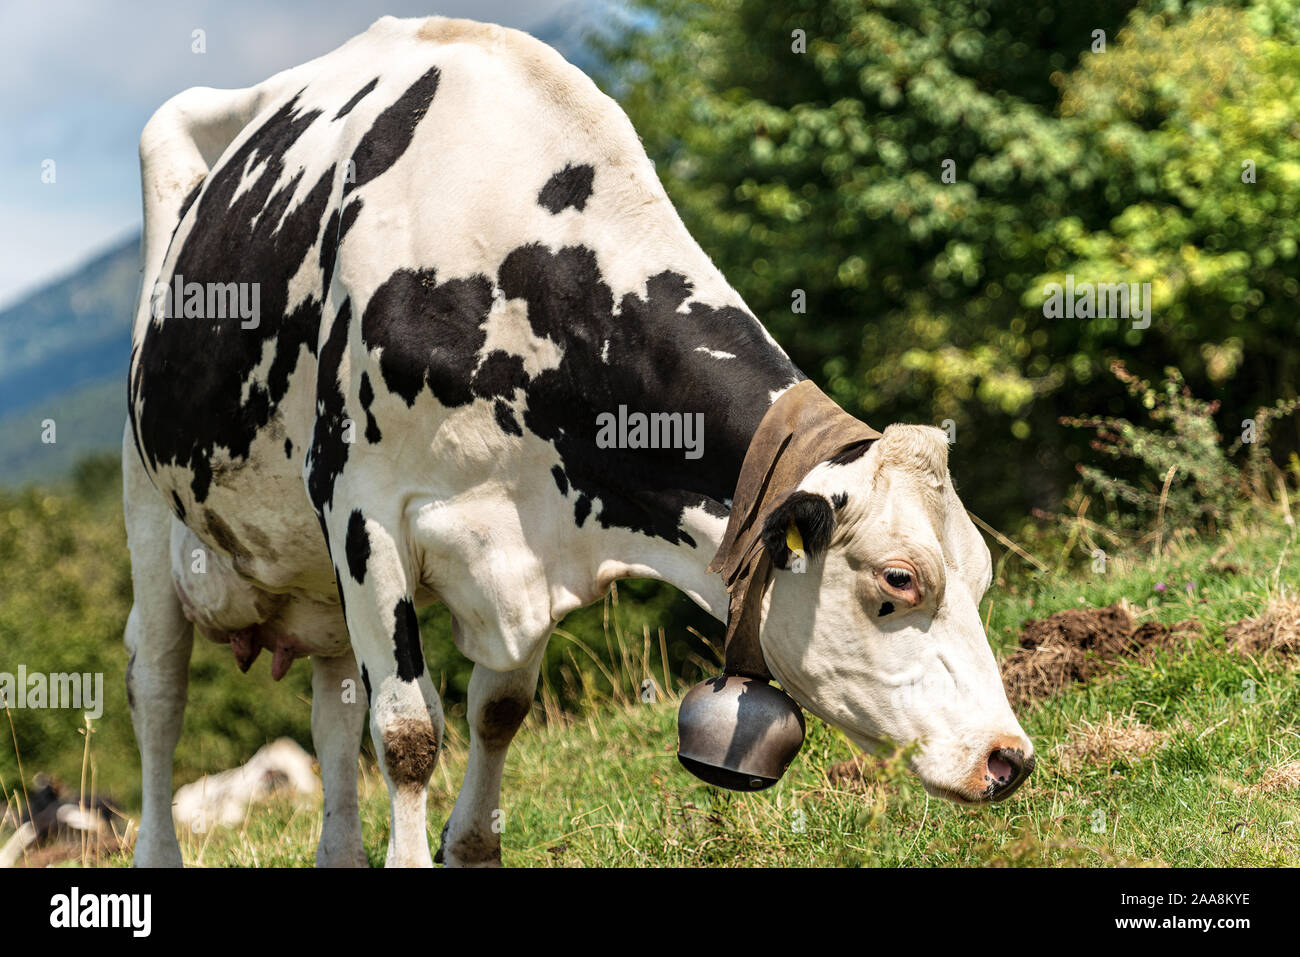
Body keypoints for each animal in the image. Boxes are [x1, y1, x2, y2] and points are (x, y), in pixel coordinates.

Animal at [123, 15, 1034, 868]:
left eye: (983, 575)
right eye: (899, 579)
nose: (1009, 757)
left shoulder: (531, 541)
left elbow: (497, 712)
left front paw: (473, 846)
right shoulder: (363, 508)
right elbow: (410, 733)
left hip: (313, 576)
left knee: (333, 705)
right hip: (150, 513)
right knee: (159, 691)